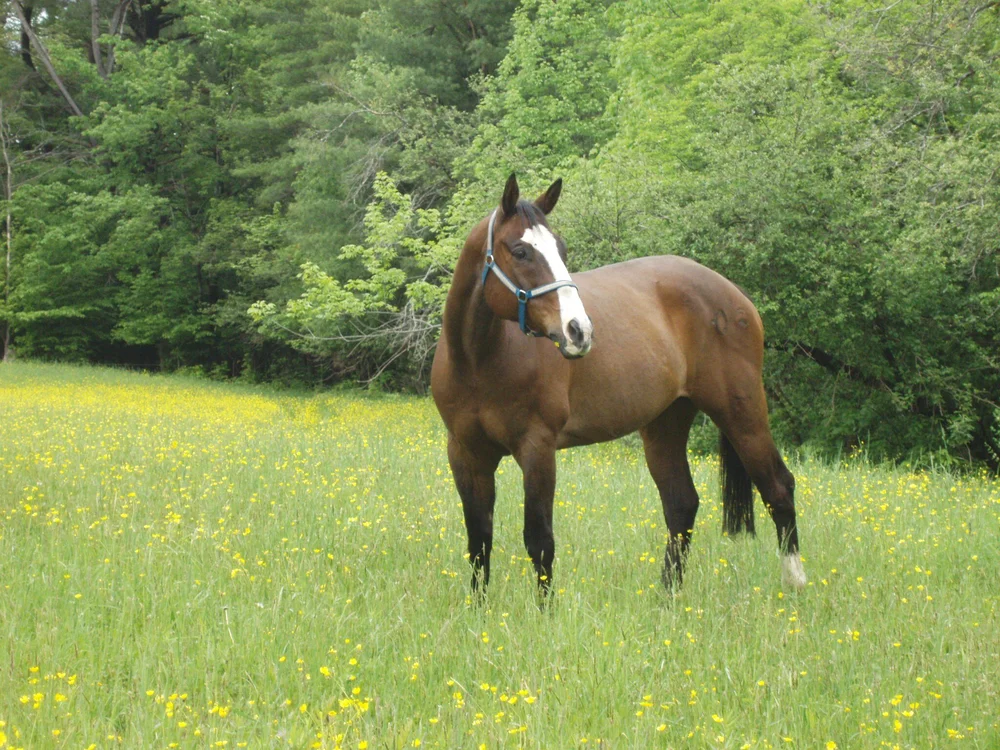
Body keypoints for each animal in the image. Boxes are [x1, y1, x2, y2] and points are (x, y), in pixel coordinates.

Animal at [430, 173, 806, 596]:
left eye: (561, 248)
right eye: (521, 251)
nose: (578, 331)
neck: (478, 360)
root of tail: (734, 293)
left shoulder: (537, 449)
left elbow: (539, 542)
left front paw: (544, 610)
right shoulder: (466, 454)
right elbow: (479, 541)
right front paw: (480, 608)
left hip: (742, 413)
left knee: (778, 488)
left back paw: (795, 583)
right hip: (666, 424)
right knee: (681, 504)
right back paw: (667, 596)